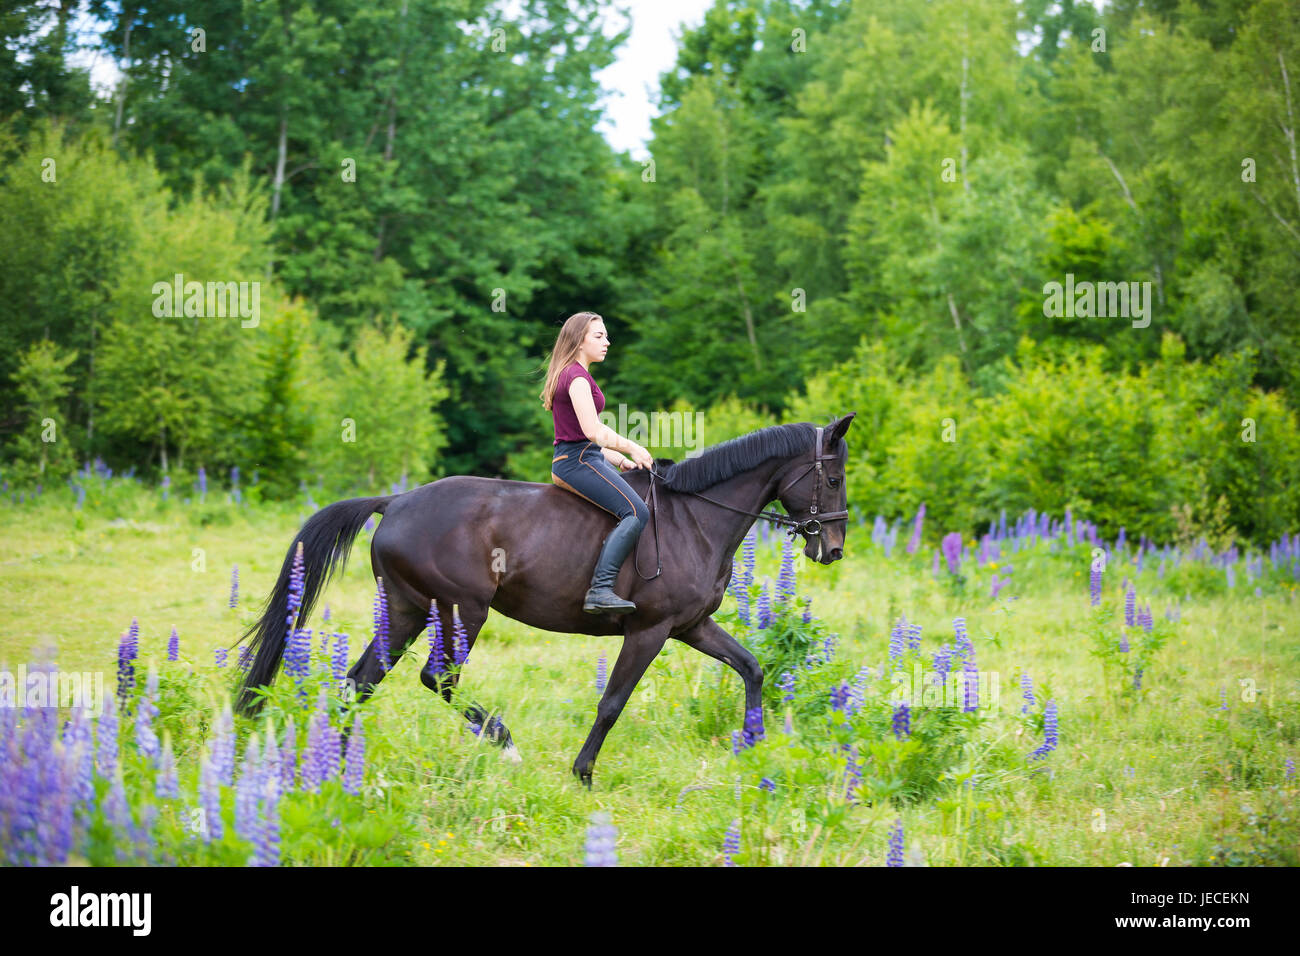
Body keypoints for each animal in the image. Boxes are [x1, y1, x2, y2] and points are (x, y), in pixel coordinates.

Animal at [234, 413, 855, 789]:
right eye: (833, 480)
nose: (833, 549)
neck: (696, 519)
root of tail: (398, 501)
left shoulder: (691, 626)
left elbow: (752, 668)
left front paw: (754, 746)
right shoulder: (650, 630)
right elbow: (612, 703)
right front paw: (582, 774)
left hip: (408, 610)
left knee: (360, 682)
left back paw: (339, 767)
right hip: (463, 611)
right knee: (437, 679)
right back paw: (503, 742)